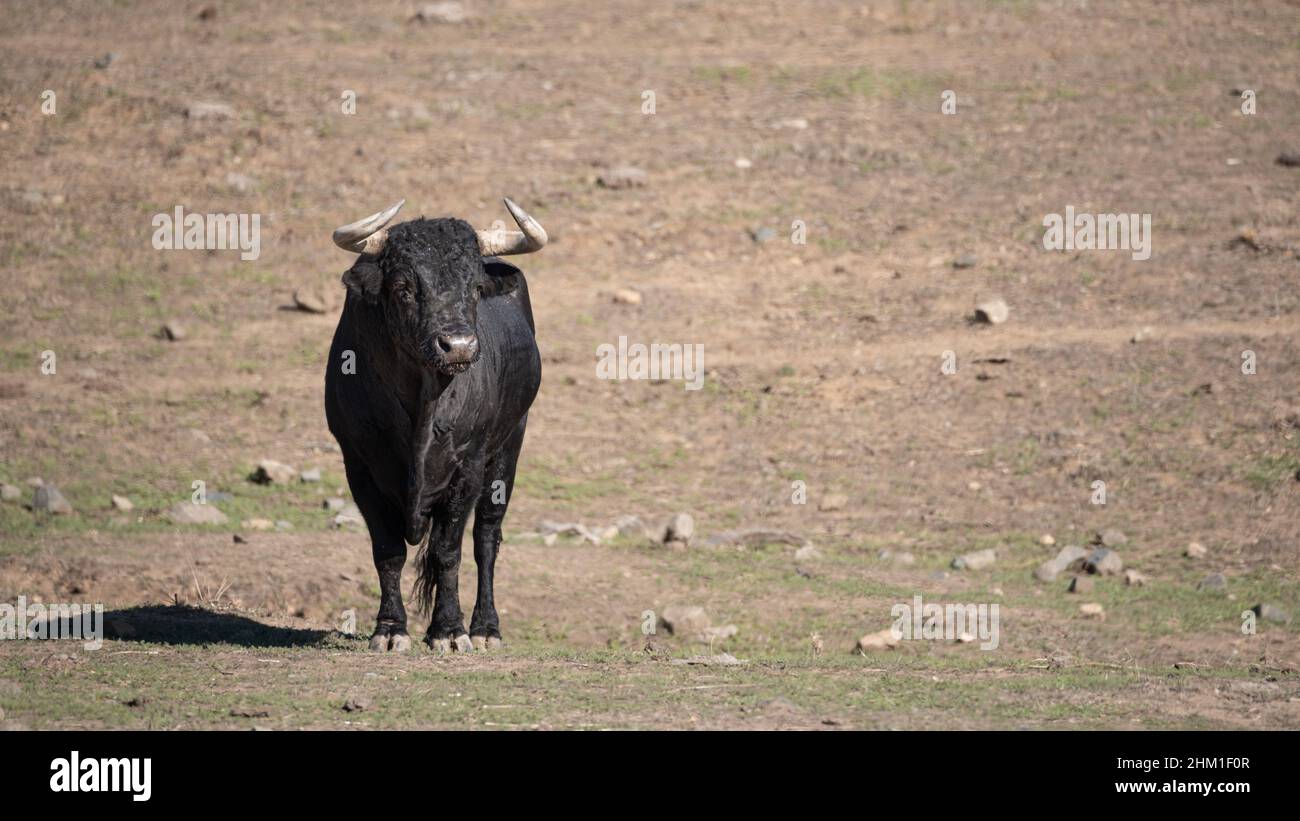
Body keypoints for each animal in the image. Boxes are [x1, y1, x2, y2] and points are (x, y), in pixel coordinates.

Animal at [324, 198, 547, 653]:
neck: (424, 407)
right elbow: (387, 549)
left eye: (475, 288)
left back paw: (485, 628)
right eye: (404, 287)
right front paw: (390, 630)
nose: (458, 346)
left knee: (486, 538)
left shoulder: (469, 466)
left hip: (509, 446)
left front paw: (448, 630)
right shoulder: (358, 465)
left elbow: (448, 550)